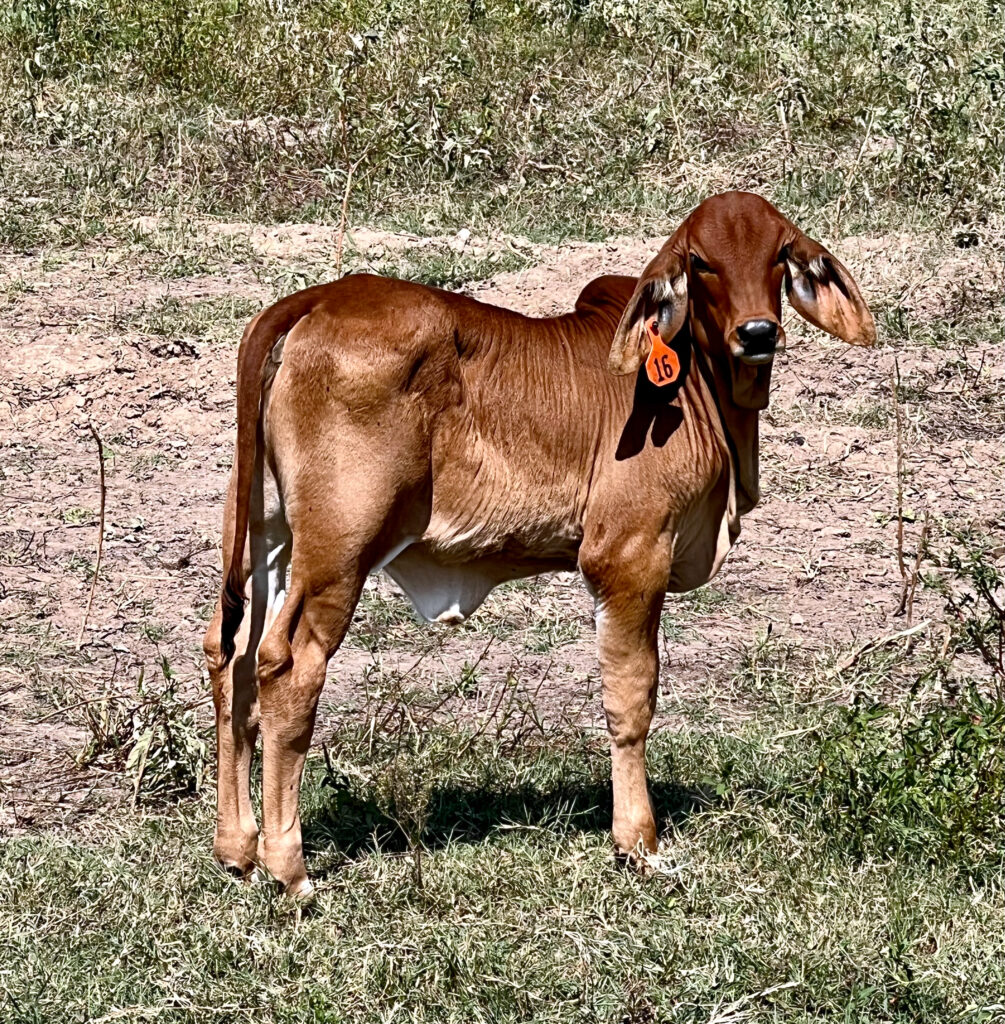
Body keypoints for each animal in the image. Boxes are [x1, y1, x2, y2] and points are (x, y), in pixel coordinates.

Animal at [203, 191, 875, 895]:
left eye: (779, 253)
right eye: (700, 262)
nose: (757, 333)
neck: (698, 383)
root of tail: (314, 301)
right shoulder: (629, 553)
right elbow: (631, 698)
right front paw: (639, 841)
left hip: (264, 536)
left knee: (233, 659)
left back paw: (237, 847)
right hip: (339, 549)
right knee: (286, 666)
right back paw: (289, 867)